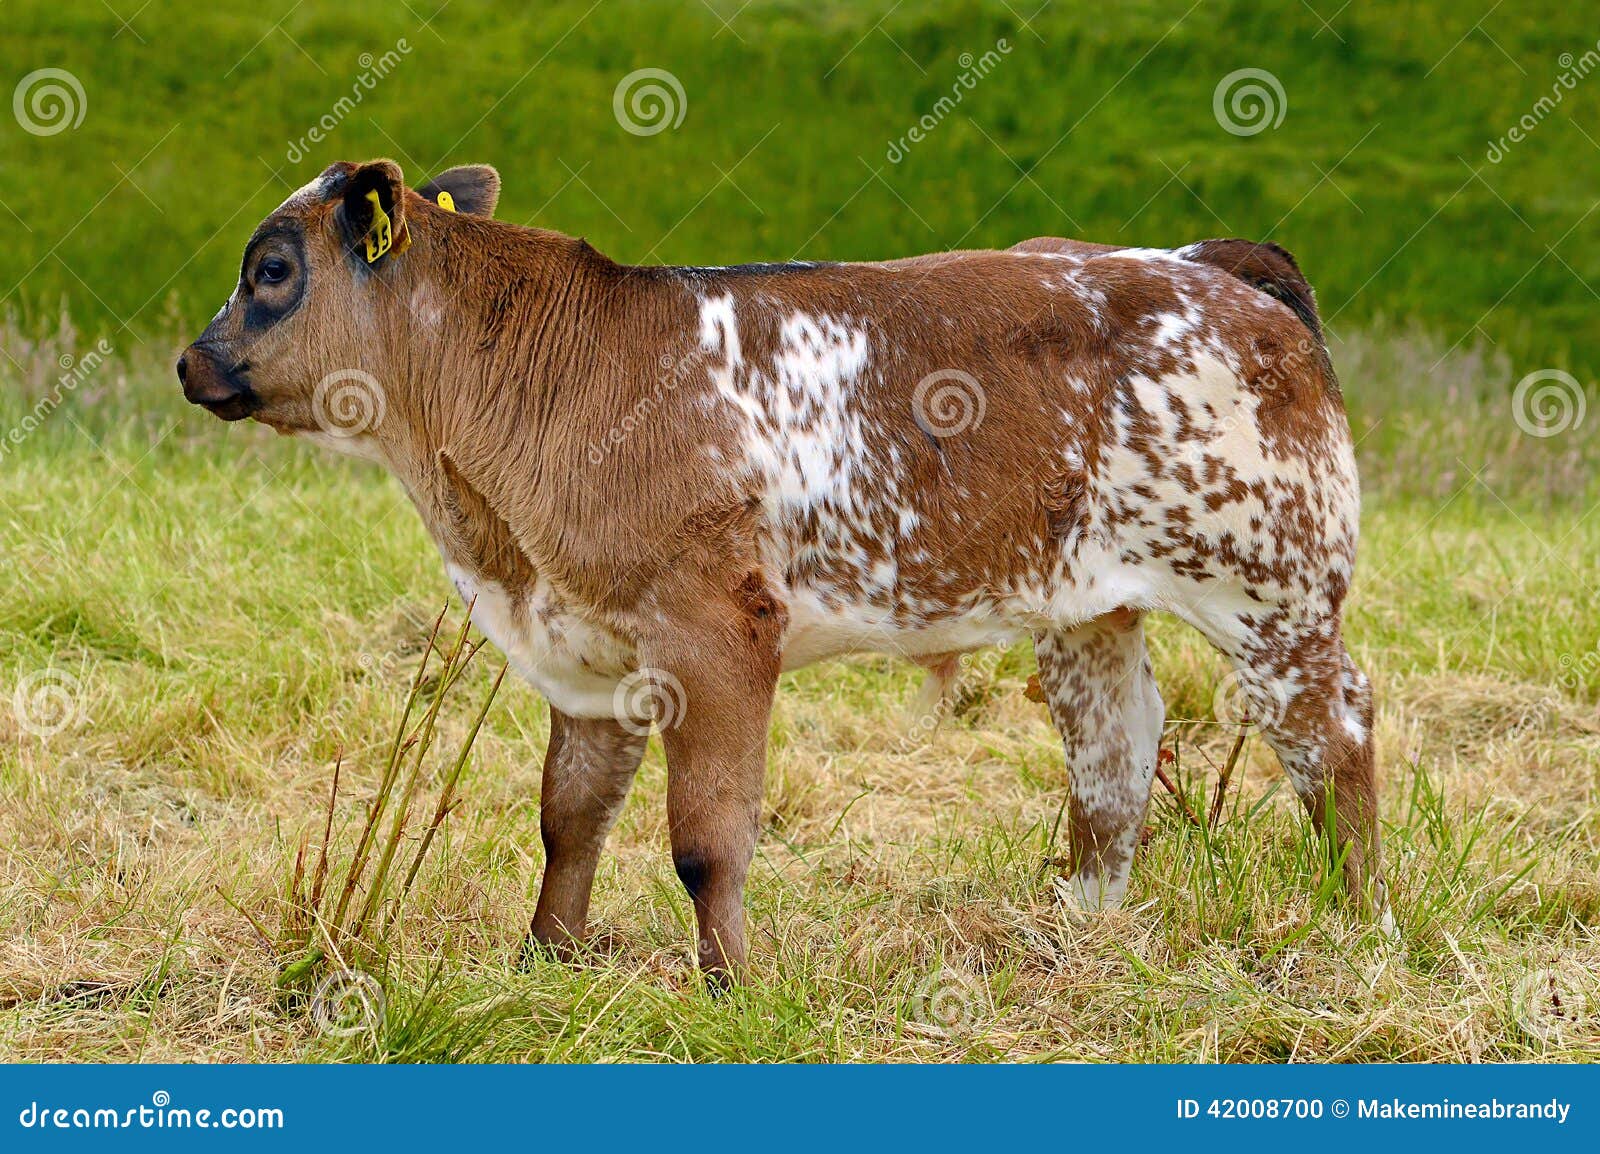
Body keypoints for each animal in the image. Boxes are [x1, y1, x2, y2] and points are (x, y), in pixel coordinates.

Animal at [178, 159, 1385, 982]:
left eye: (272, 271)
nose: (191, 362)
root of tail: (1200, 263)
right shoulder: (588, 649)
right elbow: (570, 818)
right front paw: (544, 966)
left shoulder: (715, 638)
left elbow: (706, 841)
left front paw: (731, 989)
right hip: (1088, 604)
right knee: (1115, 754)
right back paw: (1074, 932)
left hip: (1270, 589)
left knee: (1334, 734)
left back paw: (1358, 923)